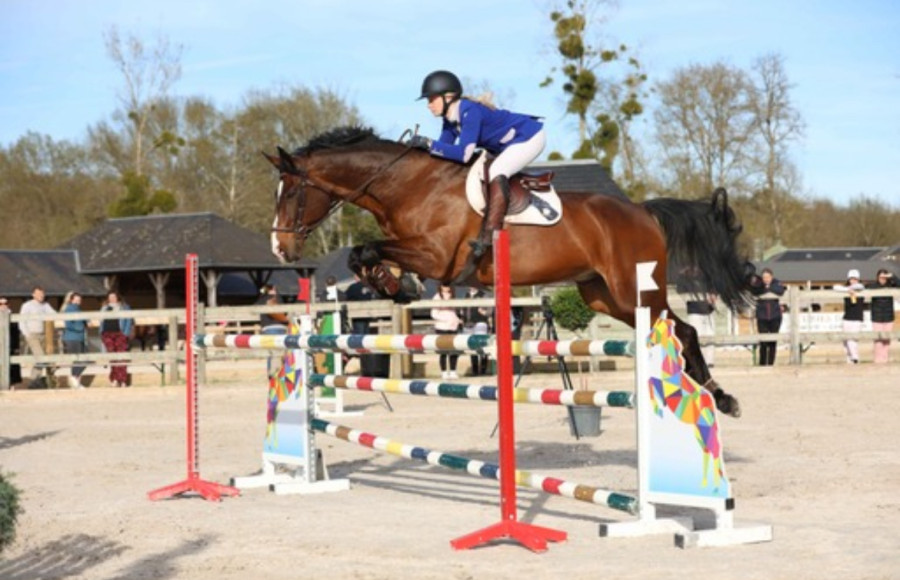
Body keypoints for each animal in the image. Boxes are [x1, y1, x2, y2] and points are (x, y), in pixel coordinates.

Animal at [265, 126, 755, 417]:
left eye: (290, 194)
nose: (280, 248)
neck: (406, 185)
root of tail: (644, 212)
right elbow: (361, 254)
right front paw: (391, 283)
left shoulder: (436, 256)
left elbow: (363, 248)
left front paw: (393, 283)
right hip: (603, 295)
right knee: (673, 329)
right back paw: (712, 393)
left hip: (633, 289)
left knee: (684, 331)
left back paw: (723, 397)